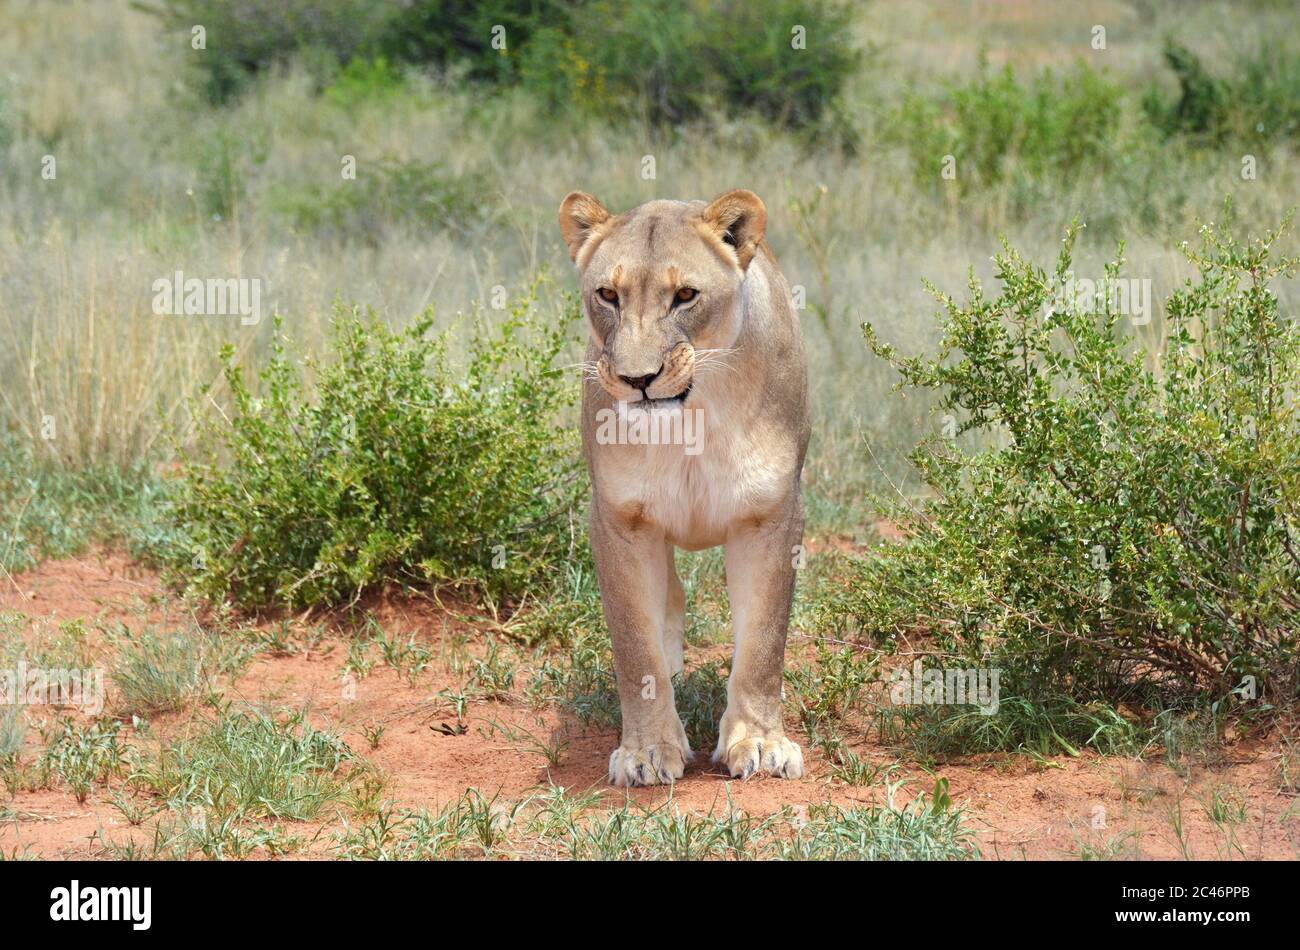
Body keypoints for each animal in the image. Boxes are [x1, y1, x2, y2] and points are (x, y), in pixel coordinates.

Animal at [558, 188, 809, 786]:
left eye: (686, 296)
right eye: (608, 295)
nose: (637, 379)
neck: (693, 420)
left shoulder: (772, 515)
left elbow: (764, 642)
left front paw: (759, 743)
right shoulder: (620, 522)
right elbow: (636, 649)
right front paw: (647, 751)